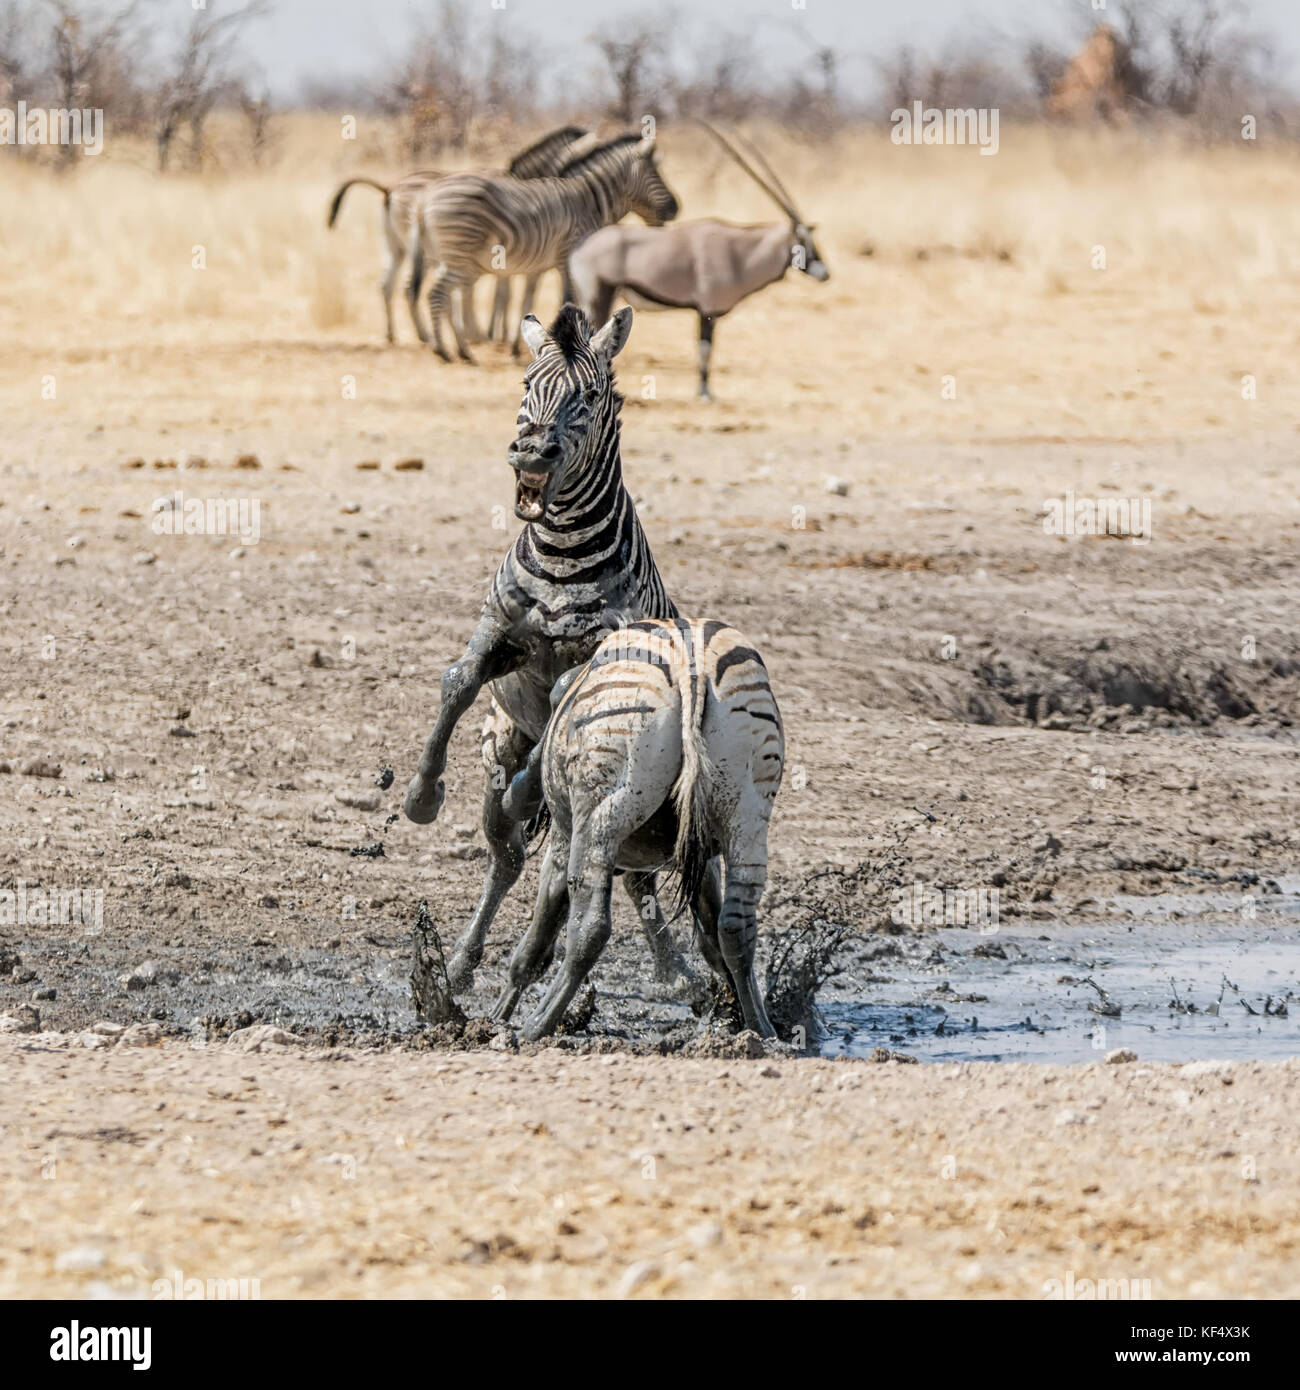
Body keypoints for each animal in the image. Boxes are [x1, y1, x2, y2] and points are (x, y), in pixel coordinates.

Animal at [326, 125, 592, 346]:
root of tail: (389, 188)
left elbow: (492, 293)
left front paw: (490, 333)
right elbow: (500, 295)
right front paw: (494, 334)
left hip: (396, 247)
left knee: (387, 285)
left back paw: (396, 335)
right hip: (421, 250)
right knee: (409, 287)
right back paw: (426, 336)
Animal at [403, 303, 690, 995]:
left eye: (587, 396)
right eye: (525, 385)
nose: (532, 452)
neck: (562, 552)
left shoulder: (593, 655)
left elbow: (562, 697)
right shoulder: (501, 633)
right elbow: (457, 680)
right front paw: (421, 795)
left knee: (632, 879)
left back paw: (674, 971)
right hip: (499, 746)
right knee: (505, 857)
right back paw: (460, 962)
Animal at [413, 133, 679, 363]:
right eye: (655, 173)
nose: (676, 208)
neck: (589, 201)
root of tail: (425, 197)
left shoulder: (542, 266)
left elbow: (528, 300)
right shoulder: (568, 256)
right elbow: (568, 301)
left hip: (450, 258)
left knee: (446, 298)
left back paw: (462, 351)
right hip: (459, 255)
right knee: (437, 295)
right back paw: (443, 351)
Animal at [492, 618, 784, 1041]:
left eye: (553, 703)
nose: (514, 797)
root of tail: (691, 667)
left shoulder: (564, 843)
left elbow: (535, 945)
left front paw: (497, 1017)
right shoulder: (703, 859)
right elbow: (713, 938)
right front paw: (729, 1009)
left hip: (601, 820)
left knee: (591, 930)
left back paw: (538, 1025)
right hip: (747, 817)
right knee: (736, 927)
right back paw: (763, 1031)